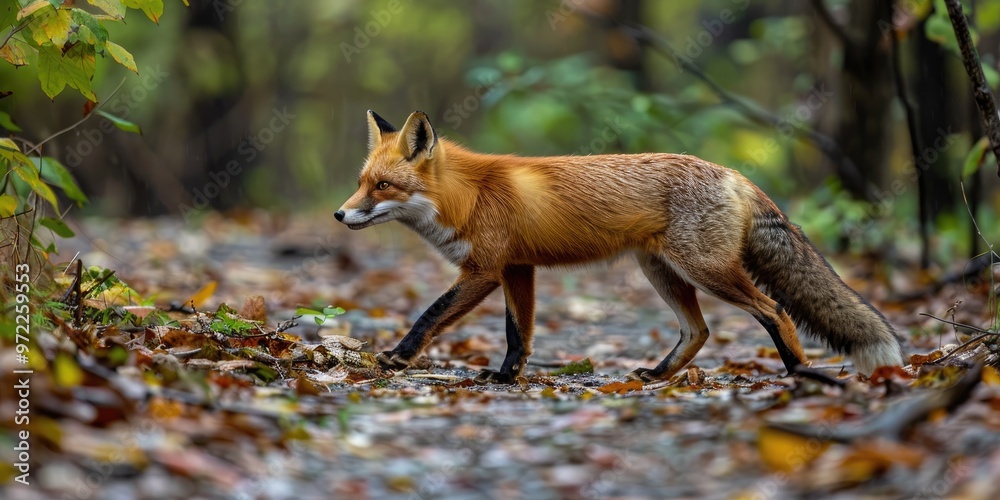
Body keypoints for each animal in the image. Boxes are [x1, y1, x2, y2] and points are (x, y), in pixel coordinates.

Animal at [335, 110, 904, 384]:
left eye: (382, 186)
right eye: (361, 183)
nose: (340, 214)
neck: (468, 196)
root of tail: (737, 175)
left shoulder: (484, 270)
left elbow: (430, 315)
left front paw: (397, 357)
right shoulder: (518, 270)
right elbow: (520, 334)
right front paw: (506, 377)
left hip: (704, 270)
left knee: (776, 310)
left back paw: (799, 373)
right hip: (662, 271)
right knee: (698, 330)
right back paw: (658, 374)